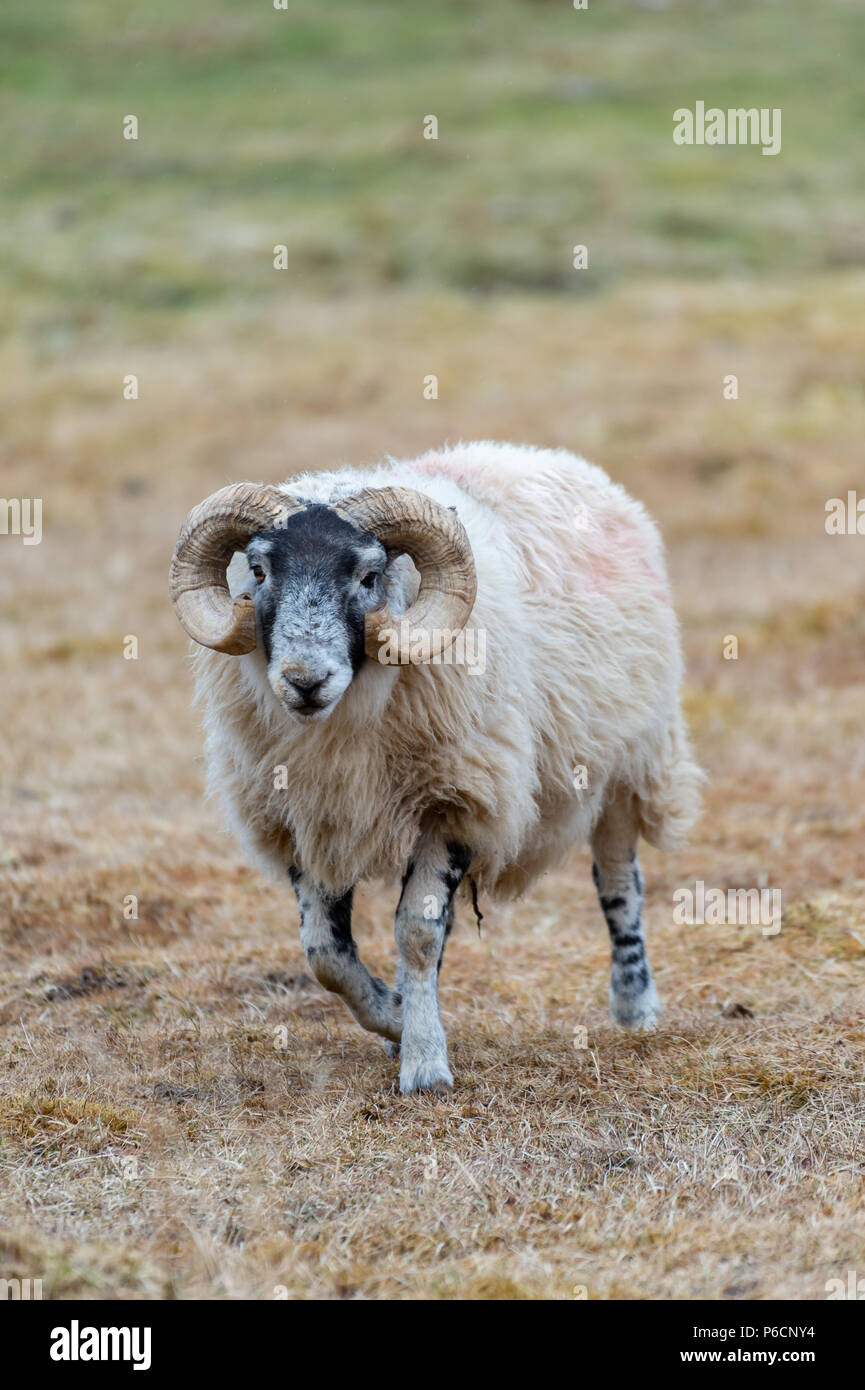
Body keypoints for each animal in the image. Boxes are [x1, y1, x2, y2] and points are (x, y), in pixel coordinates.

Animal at [169, 441, 702, 1094]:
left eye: (369, 576)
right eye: (260, 571)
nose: (305, 681)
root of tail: (547, 455)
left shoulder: (458, 801)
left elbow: (417, 933)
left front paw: (423, 1063)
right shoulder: (302, 812)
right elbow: (325, 953)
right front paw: (396, 1017)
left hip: (626, 763)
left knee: (620, 885)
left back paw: (635, 1006)